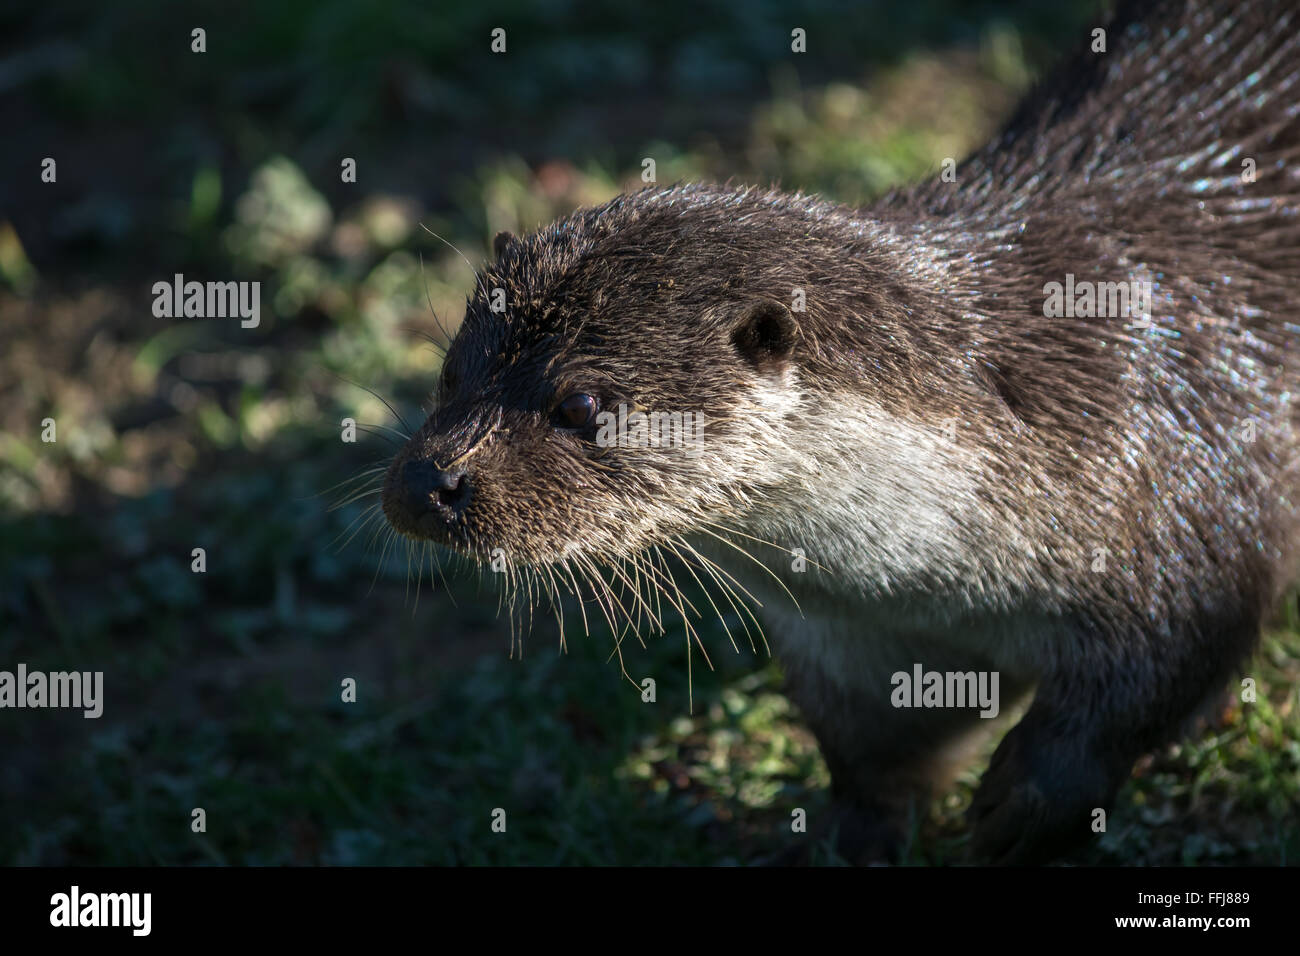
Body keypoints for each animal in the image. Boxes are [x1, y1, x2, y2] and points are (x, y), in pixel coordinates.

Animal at [379, 0, 1299, 863]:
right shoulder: (859, 643)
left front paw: (1024, 807)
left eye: (580, 405)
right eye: (451, 372)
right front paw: (845, 838)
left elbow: (1159, 671)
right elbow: (873, 754)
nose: (429, 483)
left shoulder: (1182, 502)